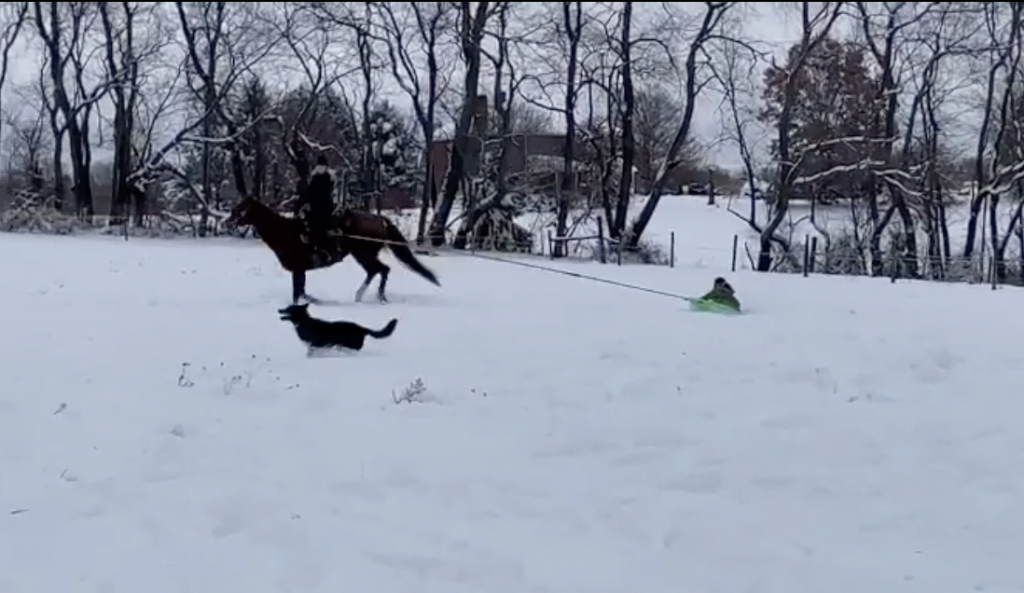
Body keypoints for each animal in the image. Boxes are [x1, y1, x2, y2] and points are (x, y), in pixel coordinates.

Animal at [225, 196, 440, 304]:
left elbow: (297, 292)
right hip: (363, 255)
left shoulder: (297, 268)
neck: (286, 232)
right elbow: (301, 290)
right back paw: (362, 296)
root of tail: (381, 220)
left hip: (364, 254)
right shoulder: (301, 270)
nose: (228, 221)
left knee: (382, 270)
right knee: (376, 271)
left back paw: (376, 297)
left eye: (241, 209)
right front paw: (311, 300)